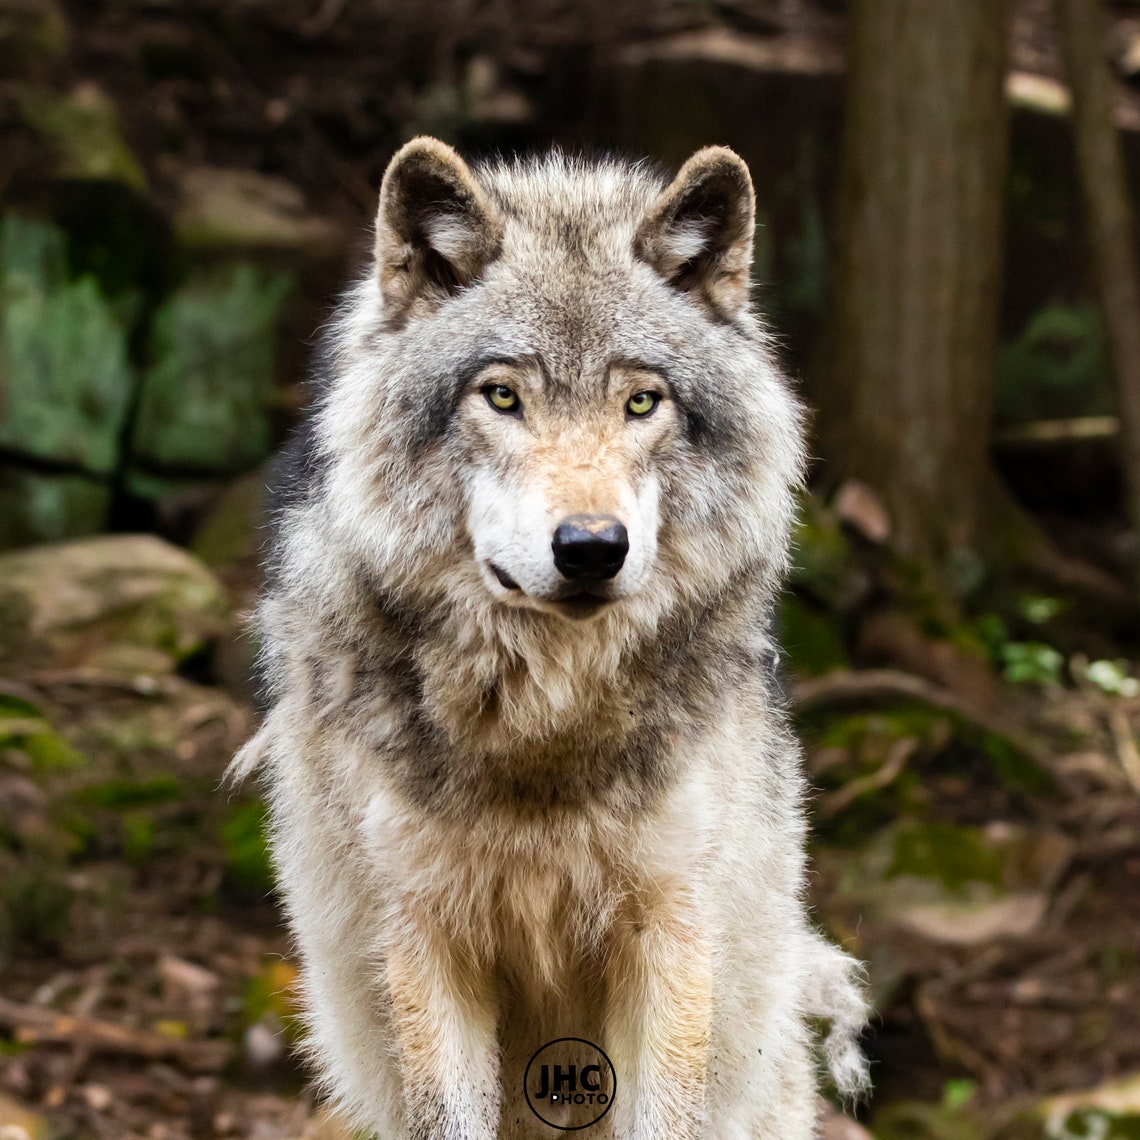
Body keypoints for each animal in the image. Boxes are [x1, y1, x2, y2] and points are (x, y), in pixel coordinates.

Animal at [232, 137, 869, 1139]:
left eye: (642, 403)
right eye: (501, 395)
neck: (544, 728)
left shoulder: (669, 933)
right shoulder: (425, 939)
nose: (592, 547)